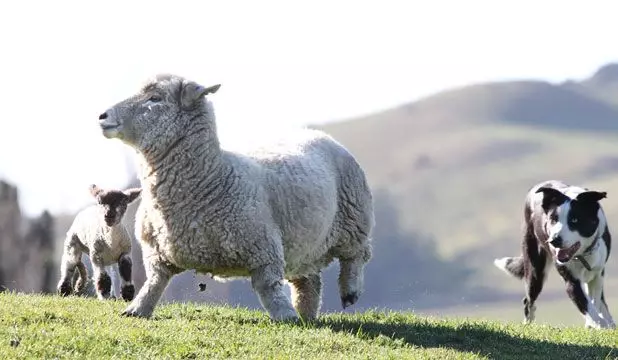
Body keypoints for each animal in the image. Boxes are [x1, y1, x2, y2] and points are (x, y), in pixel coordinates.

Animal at [98, 74, 372, 320]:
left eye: (155, 98)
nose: (103, 116)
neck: (213, 177)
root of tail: (314, 133)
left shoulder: (265, 251)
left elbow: (268, 287)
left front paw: (284, 316)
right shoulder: (156, 252)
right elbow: (155, 282)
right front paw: (137, 309)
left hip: (355, 219)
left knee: (356, 256)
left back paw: (349, 292)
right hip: (304, 244)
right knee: (308, 282)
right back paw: (307, 315)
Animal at [490, 180, 612, 330]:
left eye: (575, 220)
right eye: (553, 219)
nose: (554, 240)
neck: (582, 254)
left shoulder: (597, 274)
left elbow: (595, 302)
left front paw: (598, 324)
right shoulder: (571, 282)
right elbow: (587, 305)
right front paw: (600, 326)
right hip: (535, 270)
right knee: (528, 300)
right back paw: (528, 324)